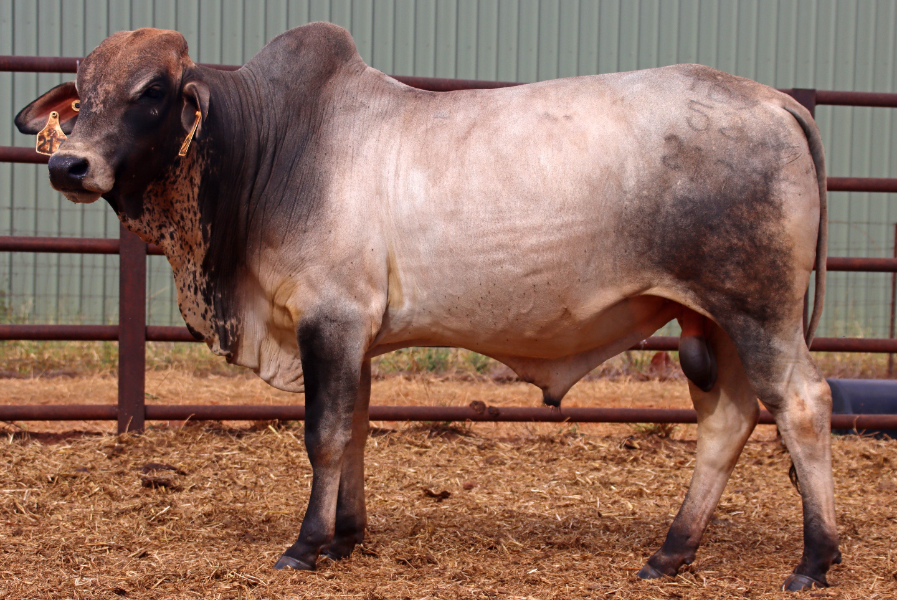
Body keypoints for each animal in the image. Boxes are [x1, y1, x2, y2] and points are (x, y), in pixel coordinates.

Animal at [15, 23, 837, 591]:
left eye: (153, 92)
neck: (268, 147)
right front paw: (346, 535)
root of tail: (775, 99)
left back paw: (814, 559)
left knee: (802, 403)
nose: (69, 164)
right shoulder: (354, 337)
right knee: (727, 421)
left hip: (756, 311)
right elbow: (355, 433)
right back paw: (671, 553)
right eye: (81, 89)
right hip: (711, 321)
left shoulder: (330, 319)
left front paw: (305, 546)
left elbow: (322, 435)